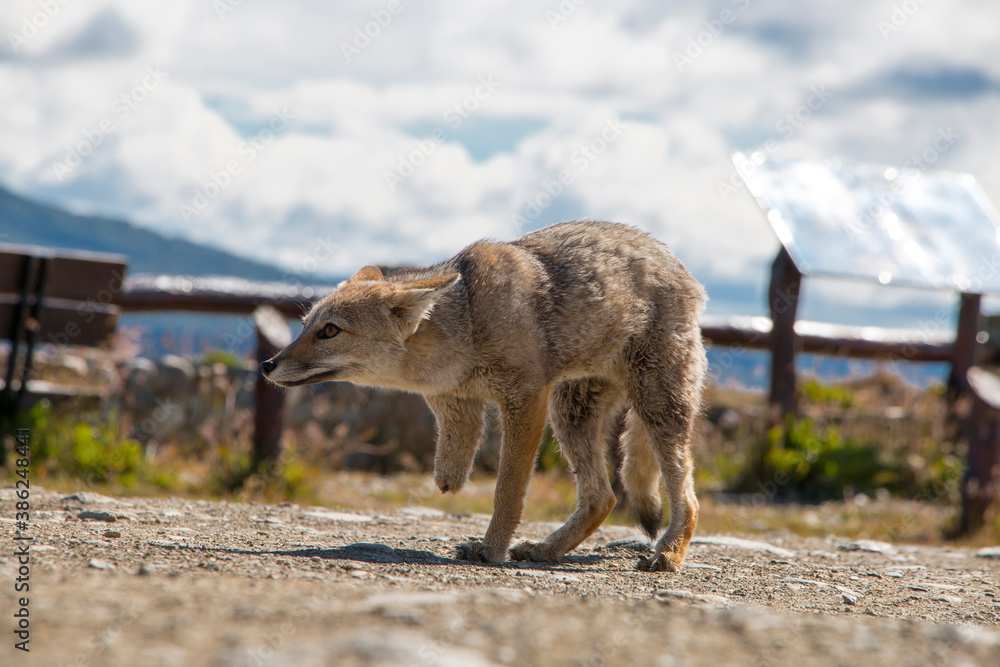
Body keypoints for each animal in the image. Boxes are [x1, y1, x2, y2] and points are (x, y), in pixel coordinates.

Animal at [261, 220, 707, 572]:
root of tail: (679, 265)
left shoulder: (526, 400)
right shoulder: (455, 399)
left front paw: (492, 550)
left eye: (330, 331)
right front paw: (450, 476)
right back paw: (547, 550)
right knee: (602, 497)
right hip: (572, 416)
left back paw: (668, 554)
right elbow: (456, 450)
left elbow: (506, 490)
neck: (468, 326)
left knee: (686, 497)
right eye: (305, 326)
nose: (267, 365)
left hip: (654, 410)